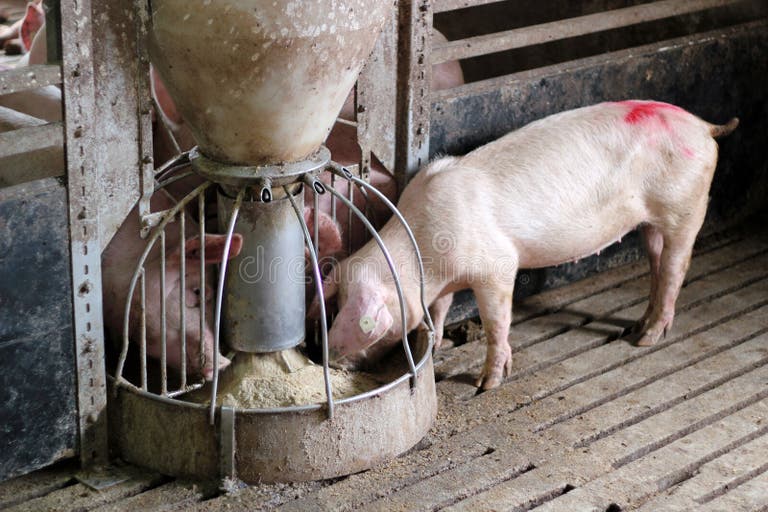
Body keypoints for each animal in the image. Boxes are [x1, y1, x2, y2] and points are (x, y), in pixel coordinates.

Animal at [320, 100, 739, 390]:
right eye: (335, 305)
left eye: (352, 316)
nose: (333, 361)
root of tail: (703, 127)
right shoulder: (442, 282)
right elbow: (439, 308)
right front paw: (435, 346)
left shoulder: (497, 268)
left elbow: (496, 321)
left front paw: (488, 383)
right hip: (652, 221)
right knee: (657, 264)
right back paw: (638, 326)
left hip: (685, 206)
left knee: (675, 268)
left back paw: (646, 340)